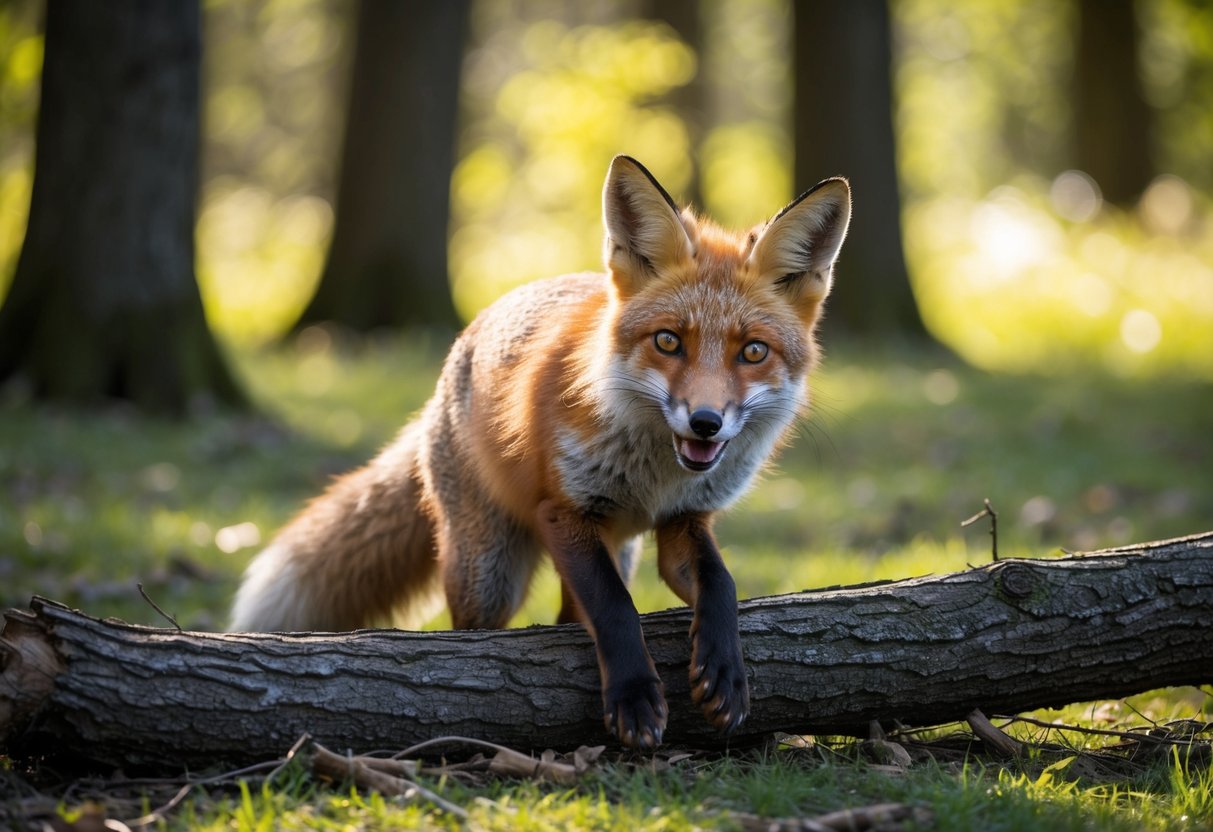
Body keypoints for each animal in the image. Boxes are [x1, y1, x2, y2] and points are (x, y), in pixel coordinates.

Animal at [230, 155, 851, 749]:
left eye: (753, 352)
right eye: (668, 341)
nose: (705, 422)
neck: (655, 477)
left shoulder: (684, 521)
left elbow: (721, 583)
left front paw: (724, 671)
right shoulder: (566, 511)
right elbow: (617, 608)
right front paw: (633, 696)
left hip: (613, 546)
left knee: (570, 615)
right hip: (489, 573)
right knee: (477, 633)